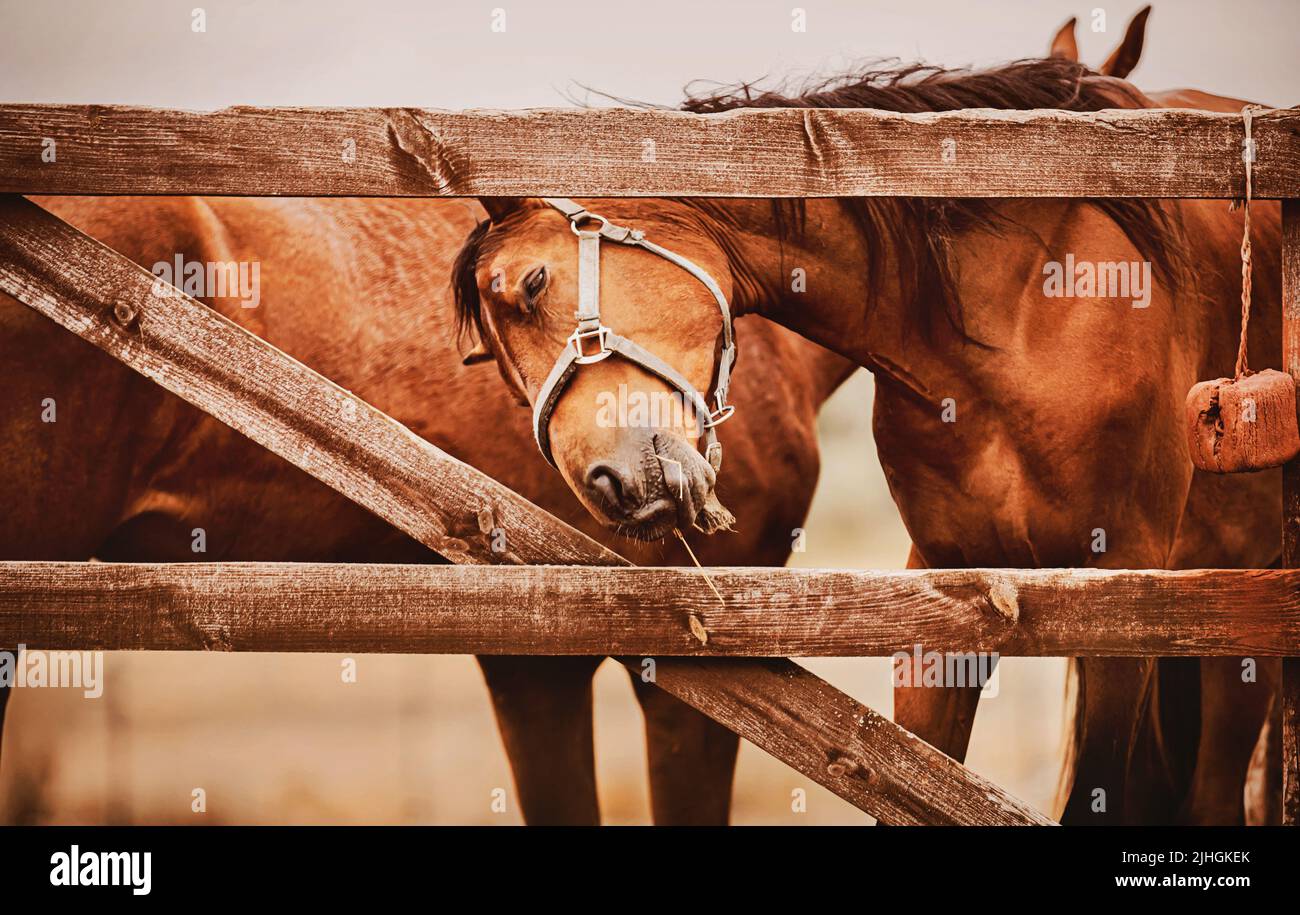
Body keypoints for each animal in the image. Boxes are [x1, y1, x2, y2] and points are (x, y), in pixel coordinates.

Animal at [452, 57, 1284, 824]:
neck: (1021, 312)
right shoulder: (950, 592)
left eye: (532, 285)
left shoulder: (1126, 587)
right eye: (496, 366)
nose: (608, 485)